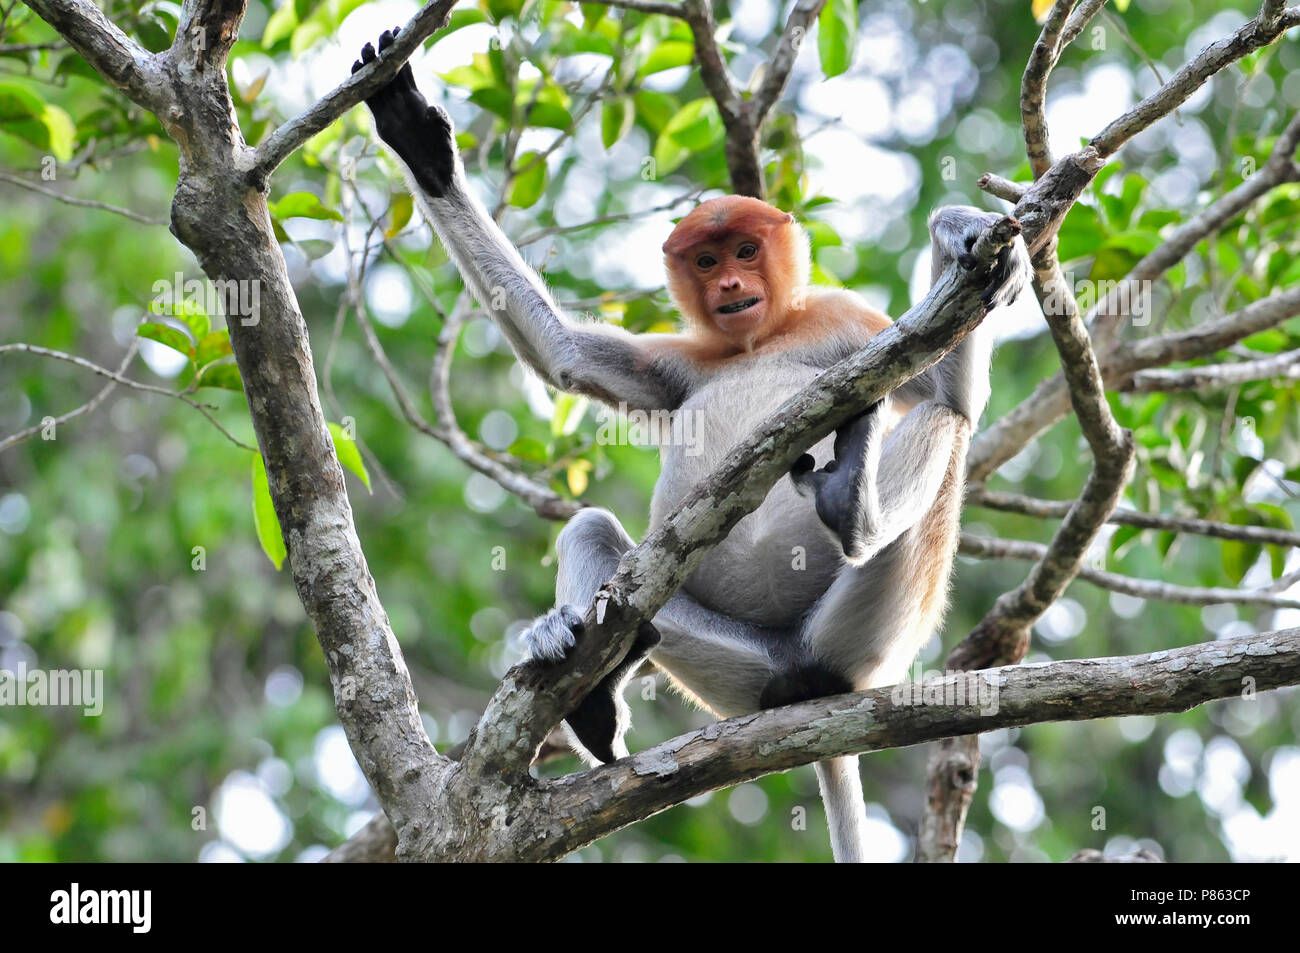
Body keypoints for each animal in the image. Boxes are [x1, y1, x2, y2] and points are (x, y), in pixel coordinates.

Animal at [353, 28, 1031, 862]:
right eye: (706, 261)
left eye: (744, 250)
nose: (730, 288)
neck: (757, 338)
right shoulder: (687, 364)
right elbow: (566, 357)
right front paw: (417, 140)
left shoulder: (844, 319)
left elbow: (951, 398)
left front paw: (967, 232)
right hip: (731, 667)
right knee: (601, 539)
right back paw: (591, 684)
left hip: (871, 631)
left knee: (941, 423)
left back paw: (853, 509)